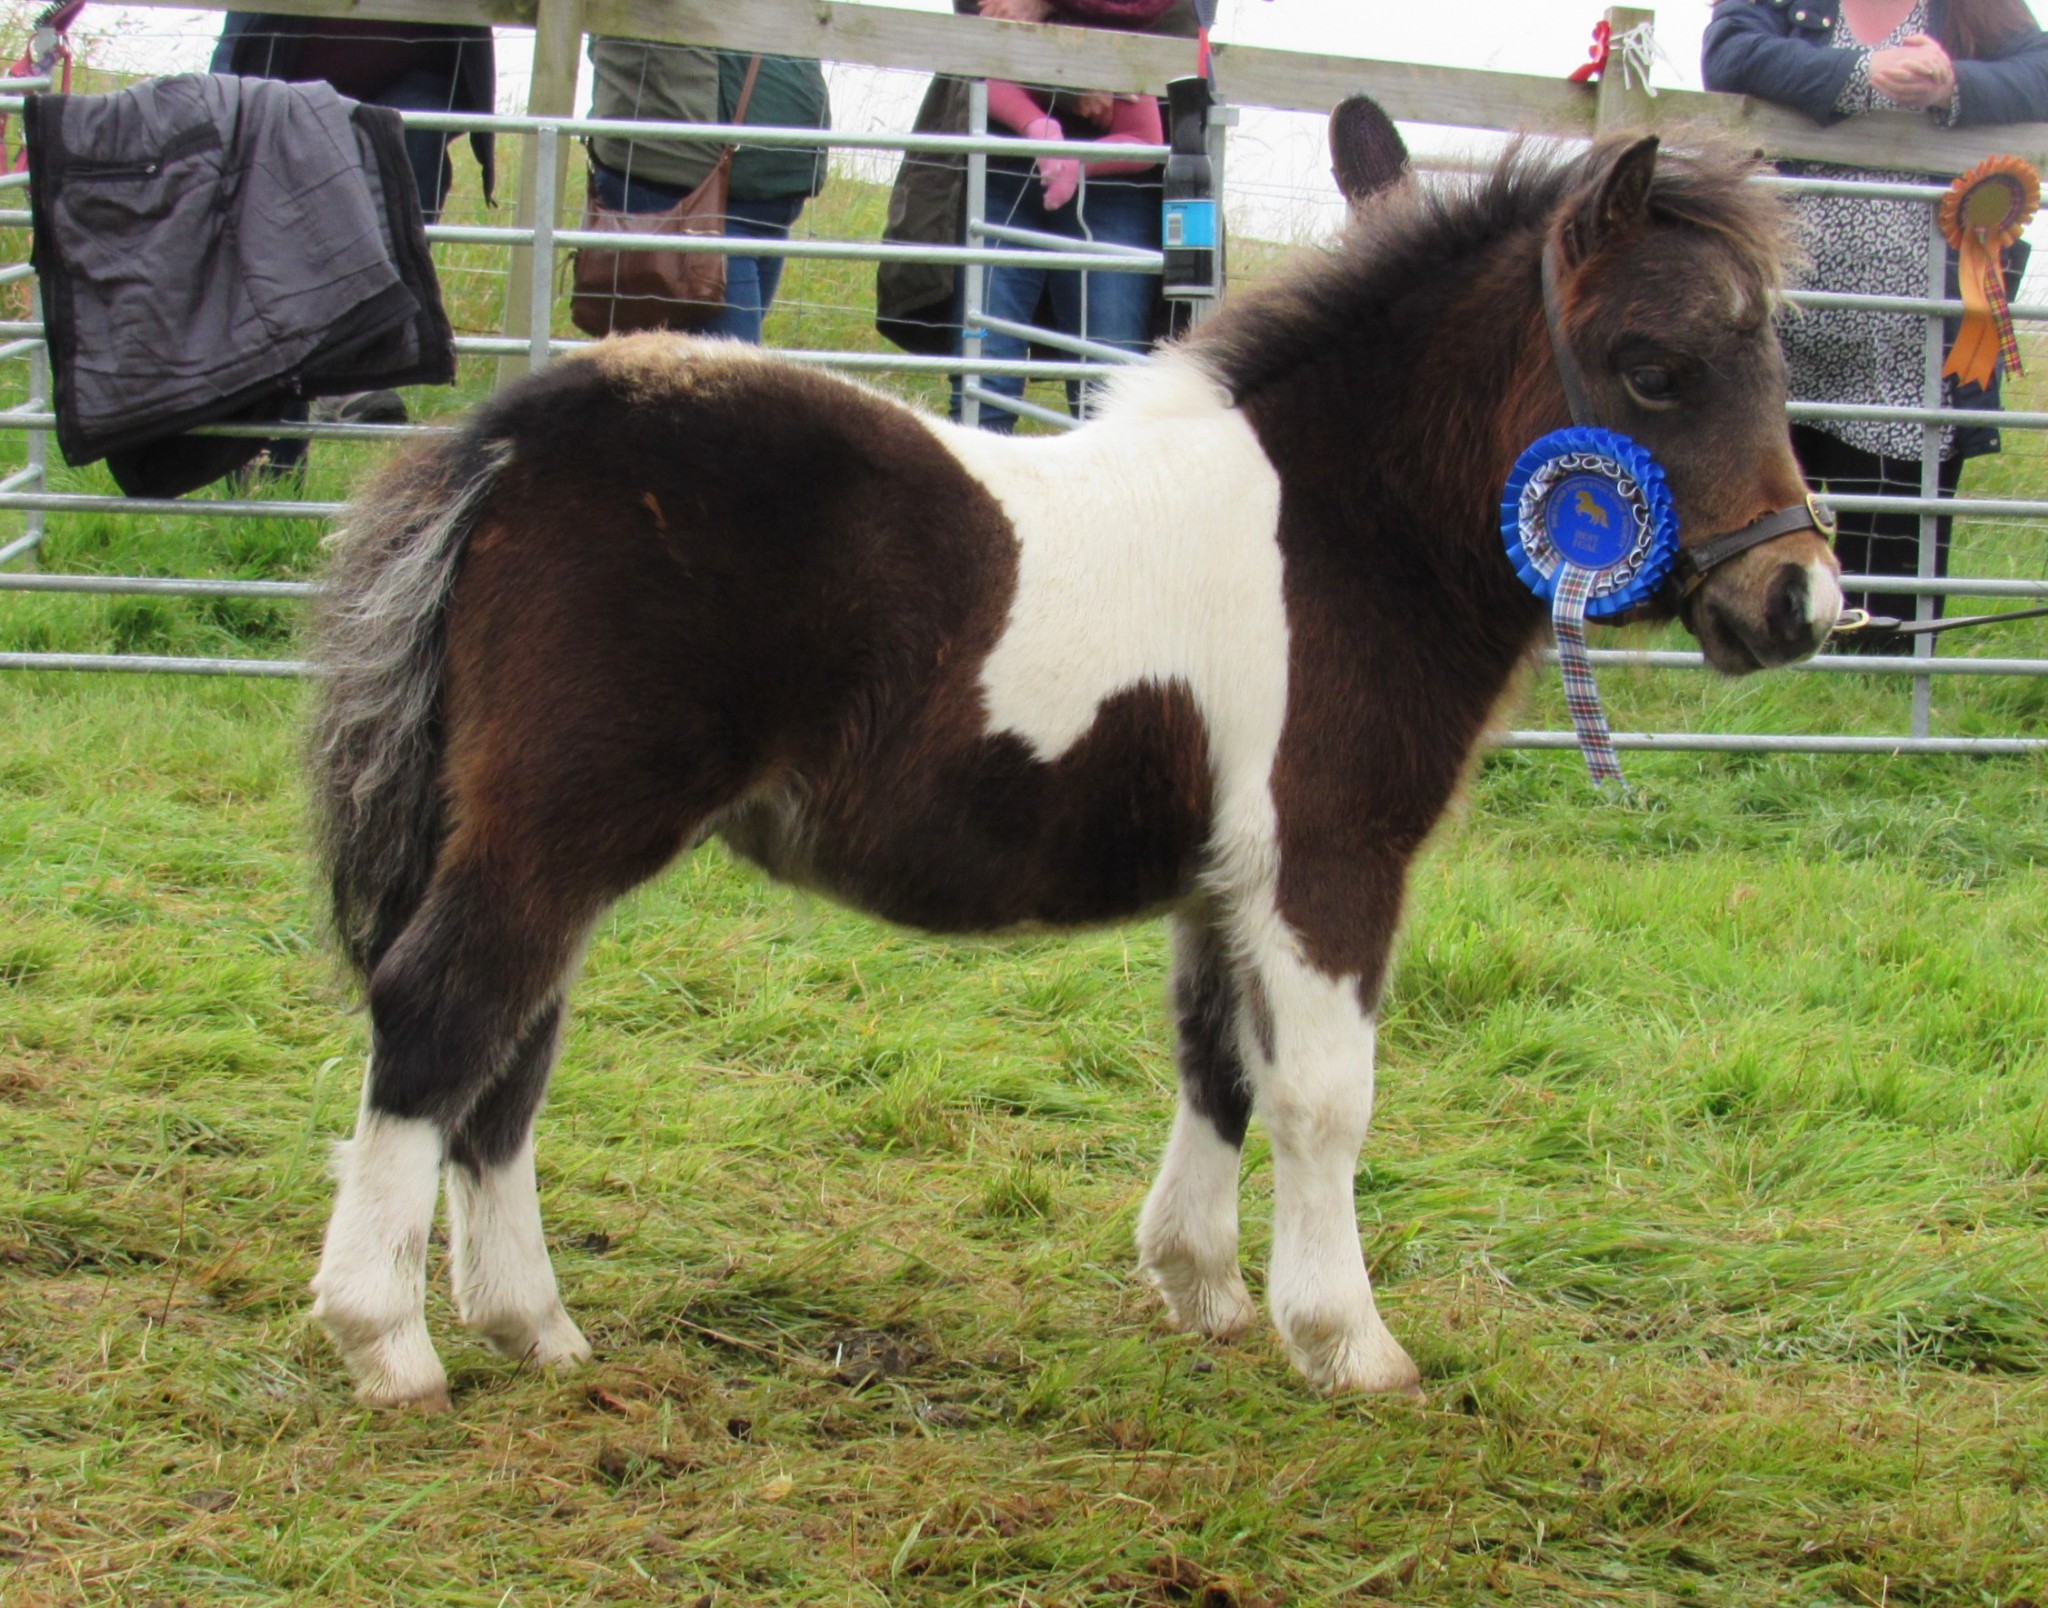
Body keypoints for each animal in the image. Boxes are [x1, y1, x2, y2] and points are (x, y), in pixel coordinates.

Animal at [306, 134, 1842, 1410]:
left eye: (1772, 365)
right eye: (1654, 366)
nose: (1798, 605)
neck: (1337, 532)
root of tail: (517, 436)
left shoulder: (1226, 882)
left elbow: (1220, 1065)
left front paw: (1203, 1289)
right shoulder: (1328, 858)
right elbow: (1324, 1096)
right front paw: (1349, 1343)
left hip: (541, 842)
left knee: (510, 1054)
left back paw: (532, 1328)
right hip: (556, 831)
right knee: (443, 1017)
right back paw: (387, 1343)